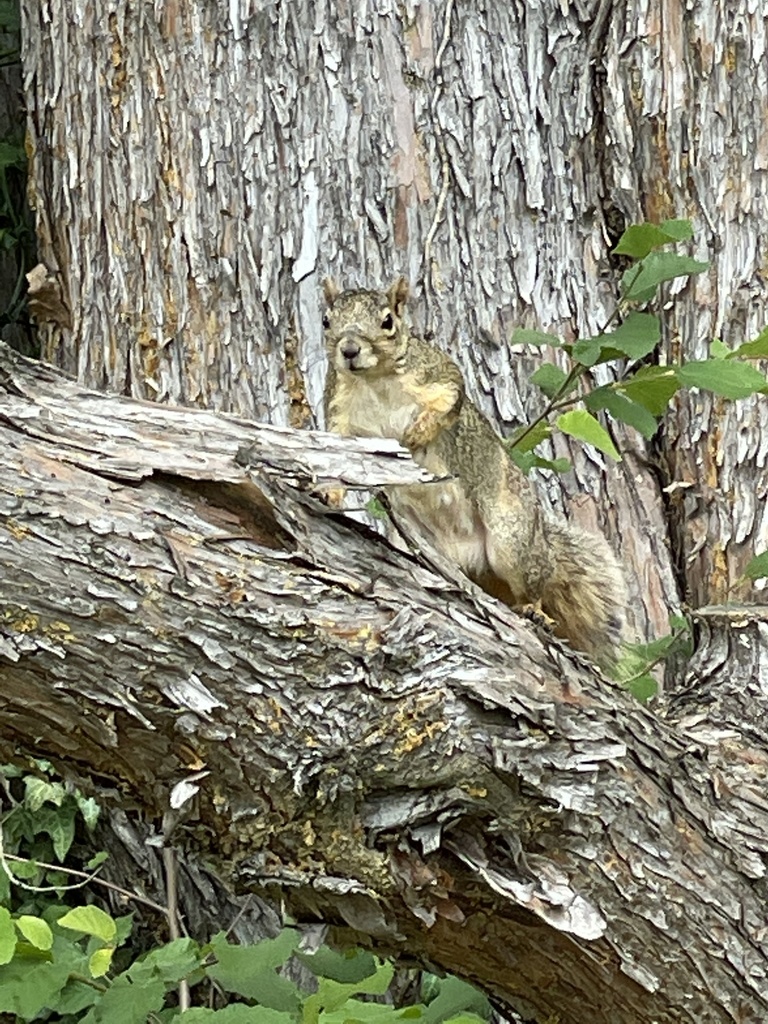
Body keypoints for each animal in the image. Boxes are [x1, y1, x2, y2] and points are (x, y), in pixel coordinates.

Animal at [322, 276, 627, 667]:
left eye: (387, 321)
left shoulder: (437, 373)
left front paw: (419, 432)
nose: (348, 350)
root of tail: (474, 562)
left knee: (535, 580)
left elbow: (450, 398)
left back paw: (534, 608)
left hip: (512, 538)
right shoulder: (340, 413)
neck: (374, 380)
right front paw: (328, 492)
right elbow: (334, 454)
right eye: (327, 320)